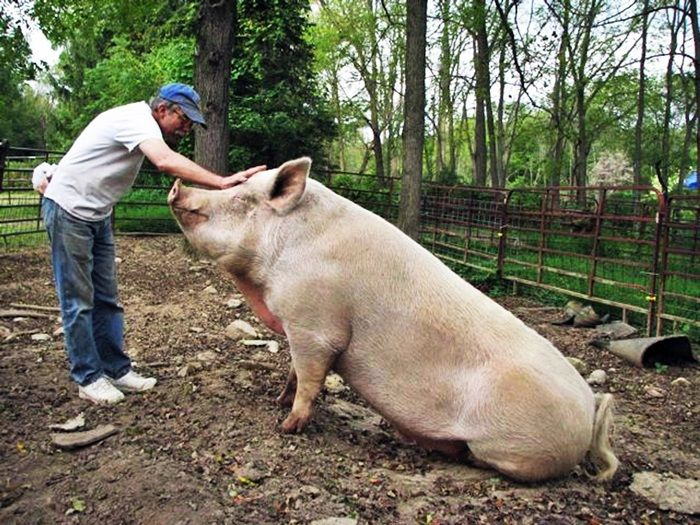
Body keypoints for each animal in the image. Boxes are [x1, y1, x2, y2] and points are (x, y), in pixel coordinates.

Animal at [168, 157, 619, 483]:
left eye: (242, 197)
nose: (177, 187)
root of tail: (590, 407)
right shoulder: (298, 326)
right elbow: (294, 370)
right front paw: (277, 400)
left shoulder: (316, 325)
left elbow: (310, 377)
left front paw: (286, 425)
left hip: (516, 447)